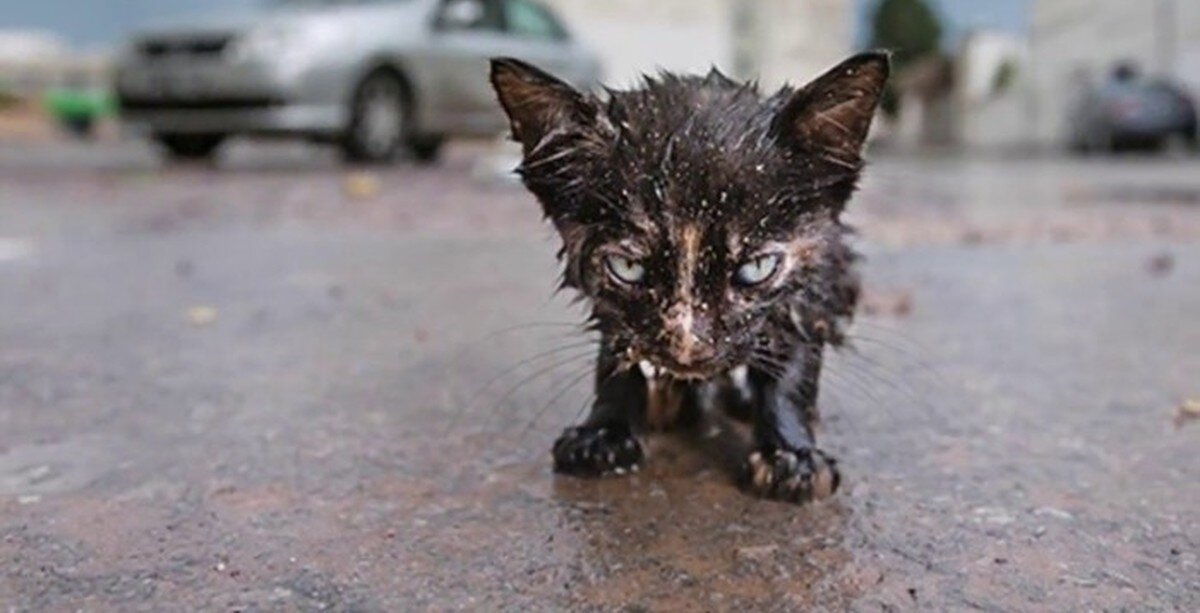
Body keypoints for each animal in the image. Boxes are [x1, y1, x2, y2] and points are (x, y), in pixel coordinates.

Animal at [487, 51, 892, 503]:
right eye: (627, 268)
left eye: (756, 269)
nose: (688, 350)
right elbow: (616, 352)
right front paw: (605, 430)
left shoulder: (813, 283)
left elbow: (793, 366)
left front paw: (791, 454)